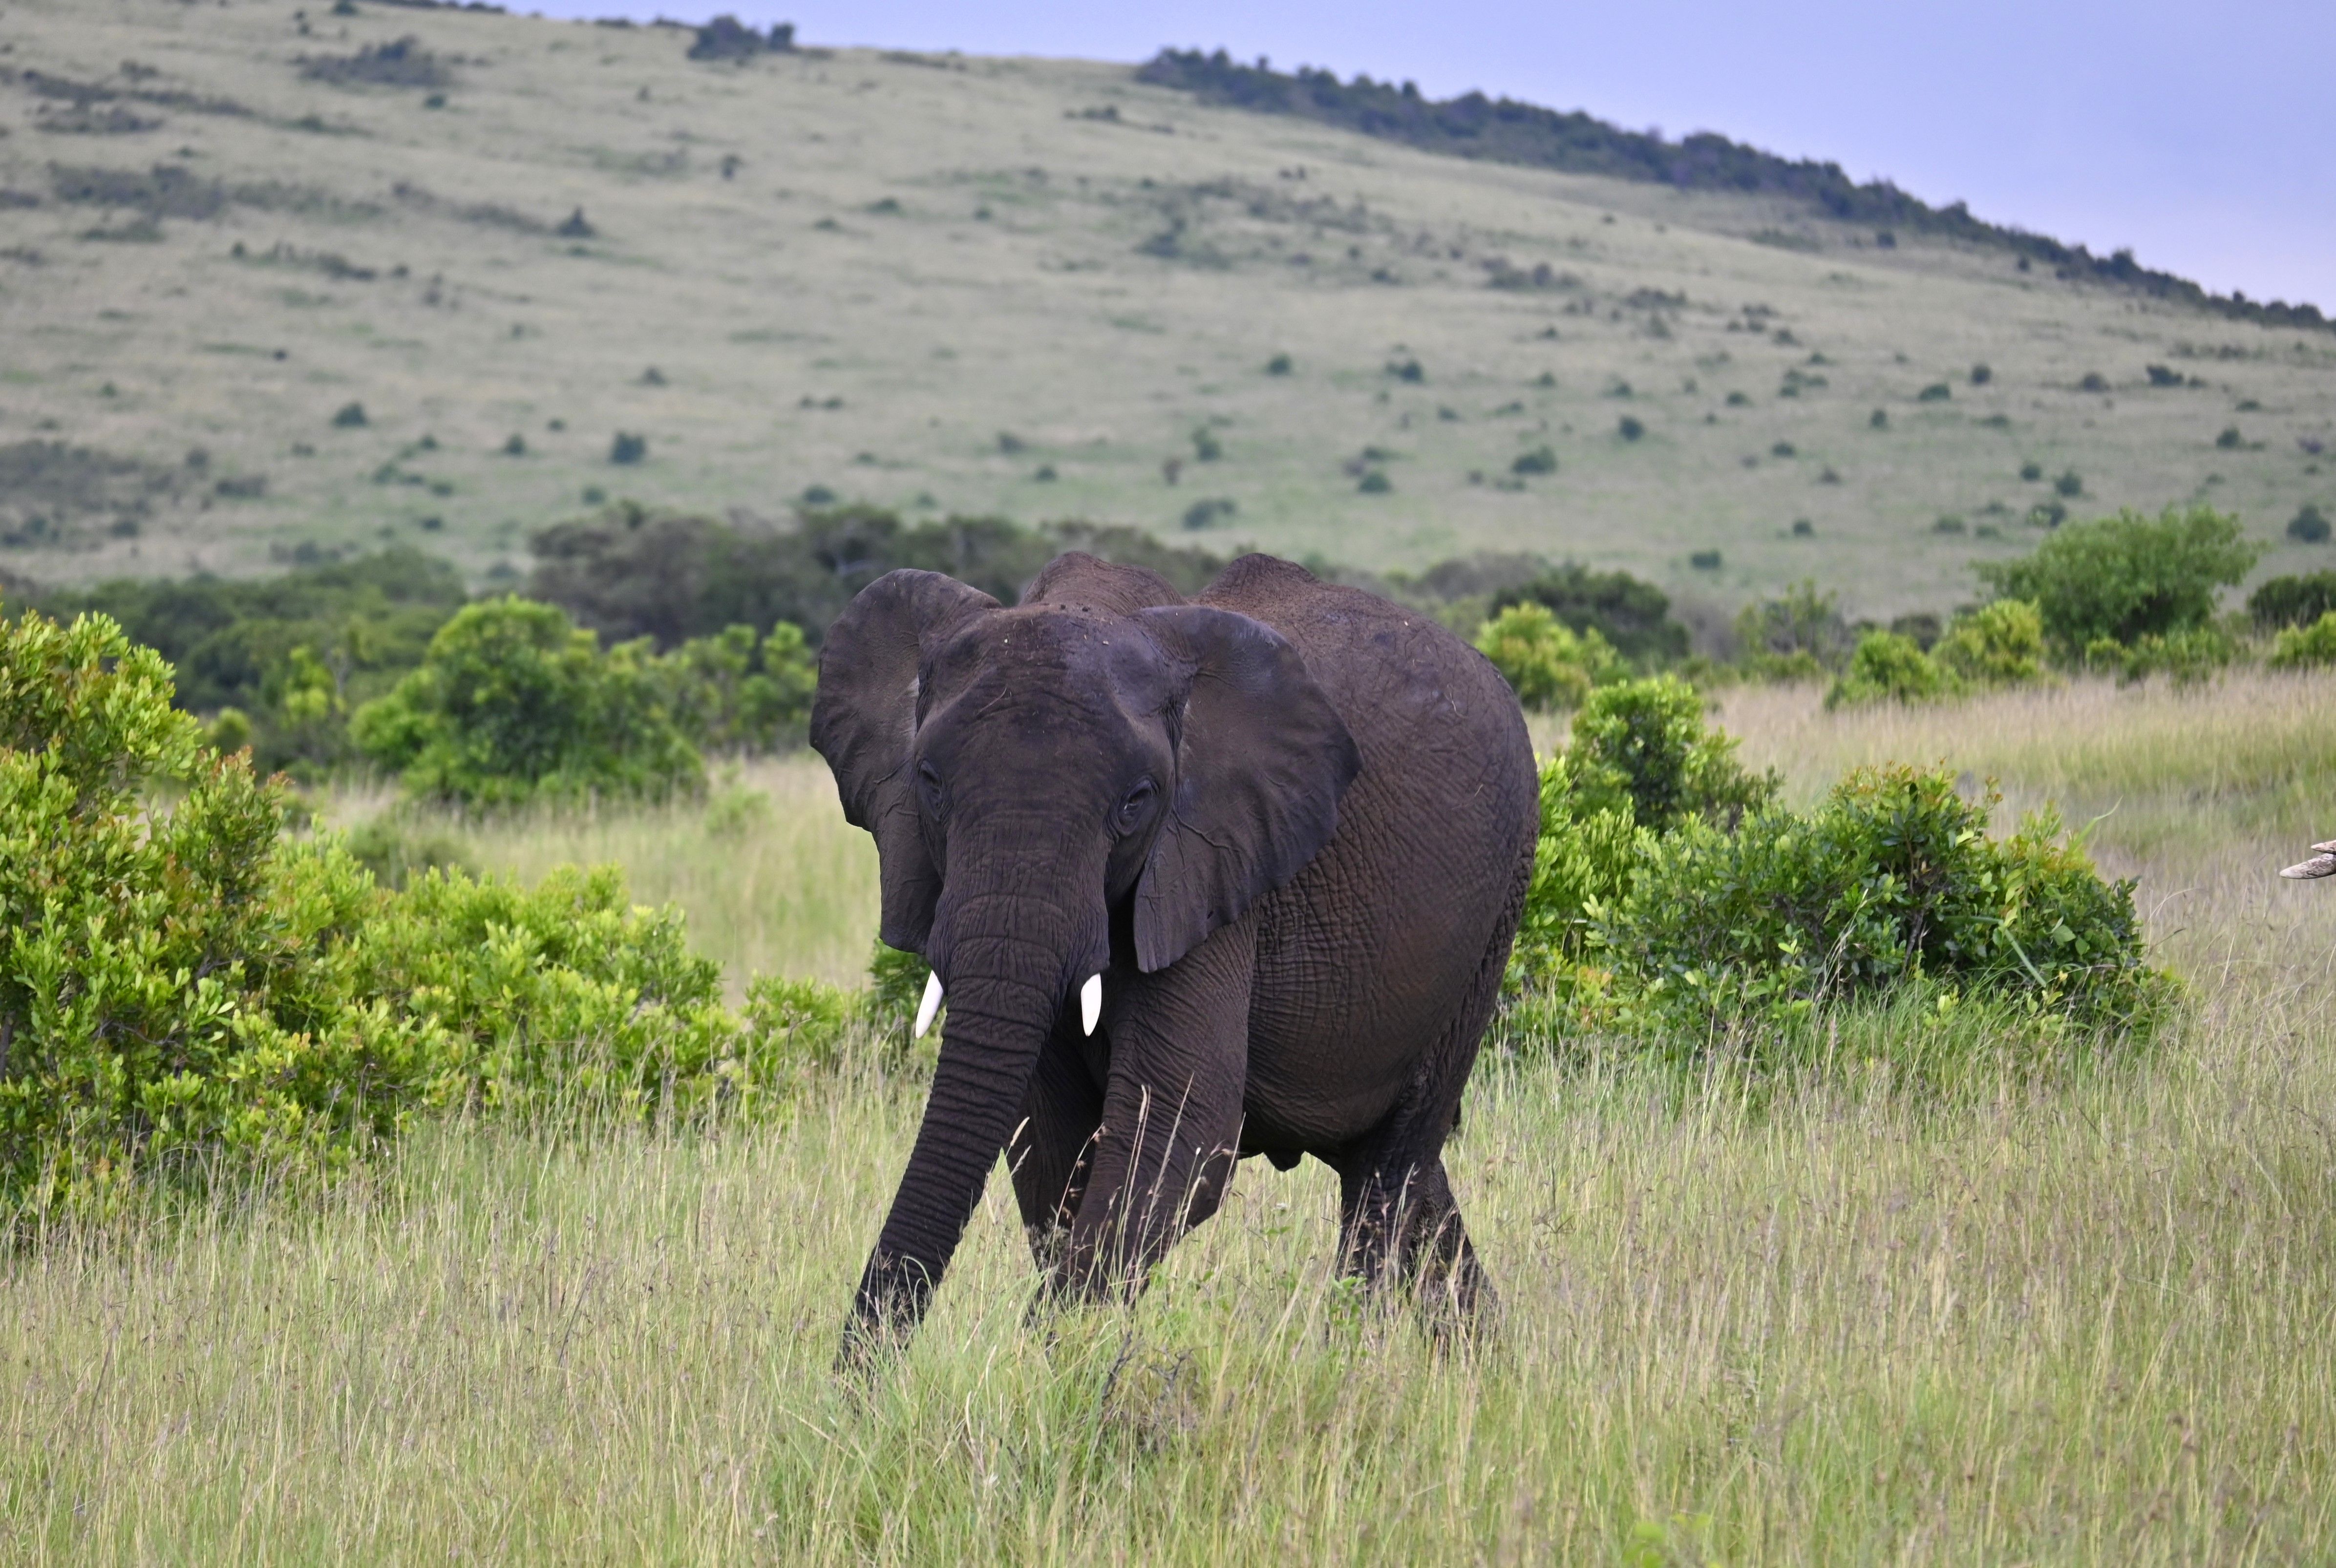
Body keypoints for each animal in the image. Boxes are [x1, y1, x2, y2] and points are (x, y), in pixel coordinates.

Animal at [809, 550, 1538, 1364]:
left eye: (1136, 801)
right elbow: (1052, 1143)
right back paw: (1490, 1365)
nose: (853, 1385)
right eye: (930, 784)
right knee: (1406, 1182)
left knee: (1389, 1170)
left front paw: (1053, 1370)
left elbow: (1175, 1132)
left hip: (1495, 910)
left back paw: (1350, 1359)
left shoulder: (1214, 859)